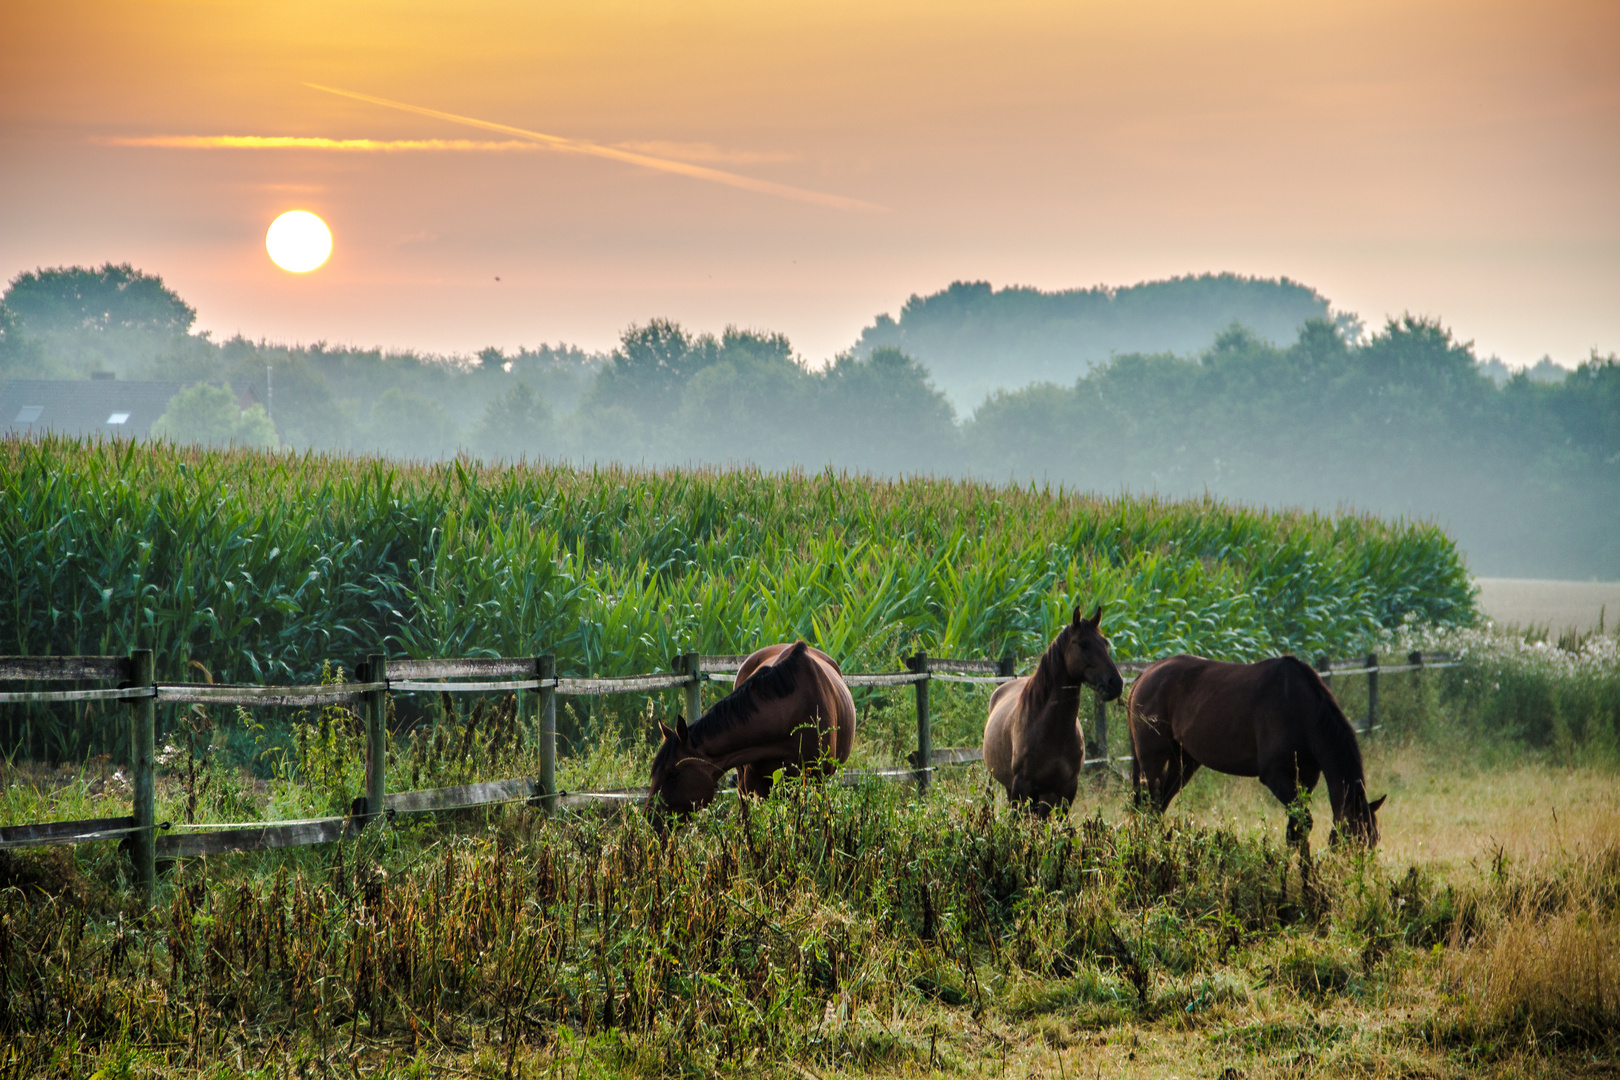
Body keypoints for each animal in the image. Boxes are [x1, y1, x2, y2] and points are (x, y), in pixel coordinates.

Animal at [978, 608, 1121, 819]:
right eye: (1084, 644)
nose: (1116, 683)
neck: (1052, 731)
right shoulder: (1021, 786)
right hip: (1013, 788)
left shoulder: (1066, 789)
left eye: (1105, 643)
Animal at [1134, 654, 1386, 848]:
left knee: (1158, 806)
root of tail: (1145, 675)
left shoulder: (1307, 777)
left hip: (1184, 763)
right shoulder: (1274, 775)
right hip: (1152, 760)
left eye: (1373, 841)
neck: (1299, 707)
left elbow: (1295, 830)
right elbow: (1301, 823)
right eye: (1352, 839)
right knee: (1148, 805)